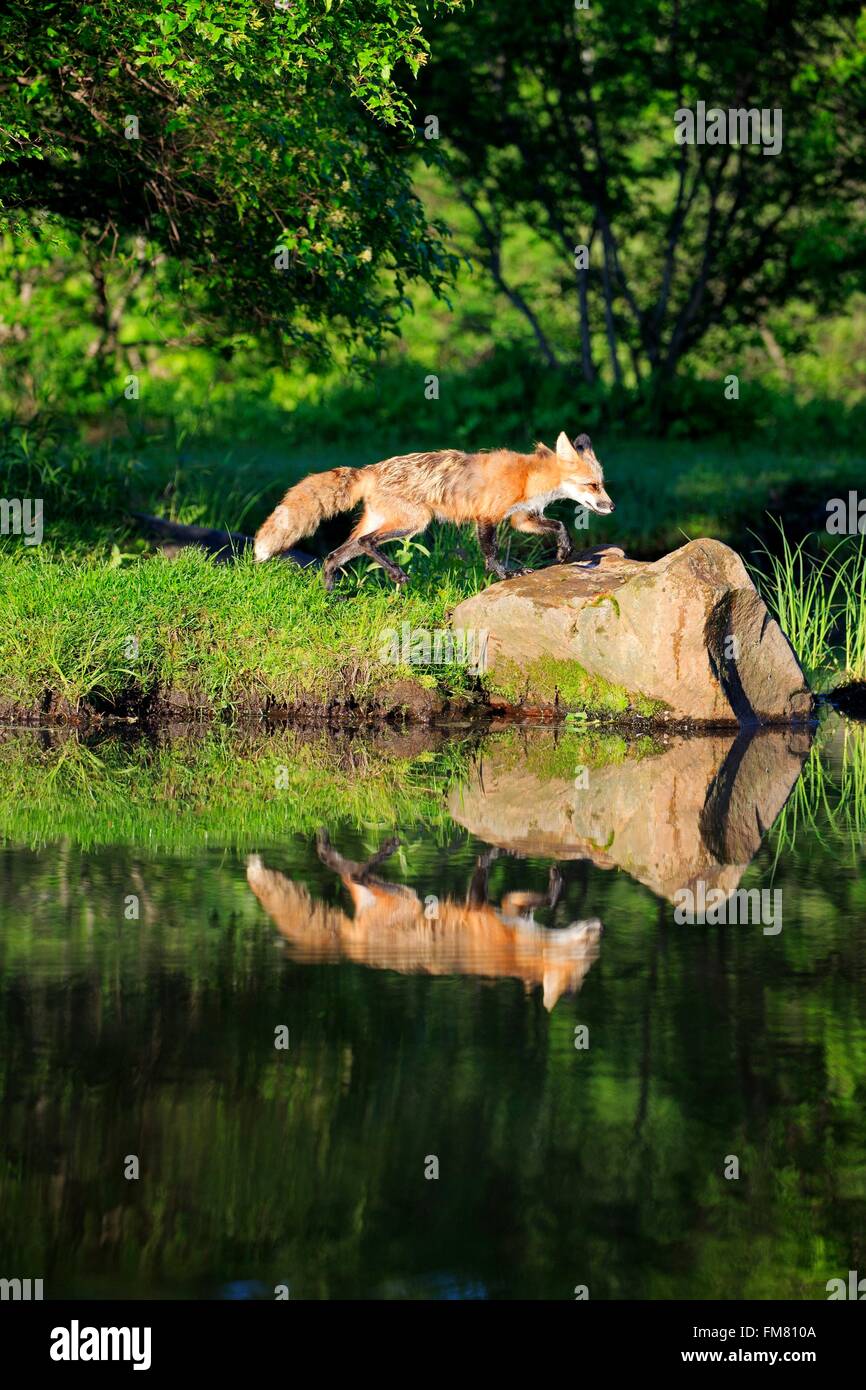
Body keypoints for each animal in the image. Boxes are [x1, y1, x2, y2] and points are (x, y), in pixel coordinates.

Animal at [246, 833, 602, 1011]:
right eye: (586, 957)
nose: (601, 927)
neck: (520, 949)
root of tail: (349, 948)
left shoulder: (511, 908)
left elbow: (540, 899)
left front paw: (552, 879)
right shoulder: (480, 909)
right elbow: (485, 867)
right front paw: (497, 852)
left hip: (397, 893)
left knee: (344, 869)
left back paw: (327, 843)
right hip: (406, 899)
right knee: (356, 872)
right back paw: (386, 848)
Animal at [253, 430, 614, 589]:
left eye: (601, 482)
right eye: (592, 486)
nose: (611, 506)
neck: (529, 478)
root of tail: (371, 469)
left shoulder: (522, 518)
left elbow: (559, 526)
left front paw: (565, 550)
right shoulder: (488, 516)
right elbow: (491, 554)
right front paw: (506, 574)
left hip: (380, 522)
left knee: (333, 556)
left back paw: (332, 597)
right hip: (415, 521)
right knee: (368, 543)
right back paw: (396, 573)